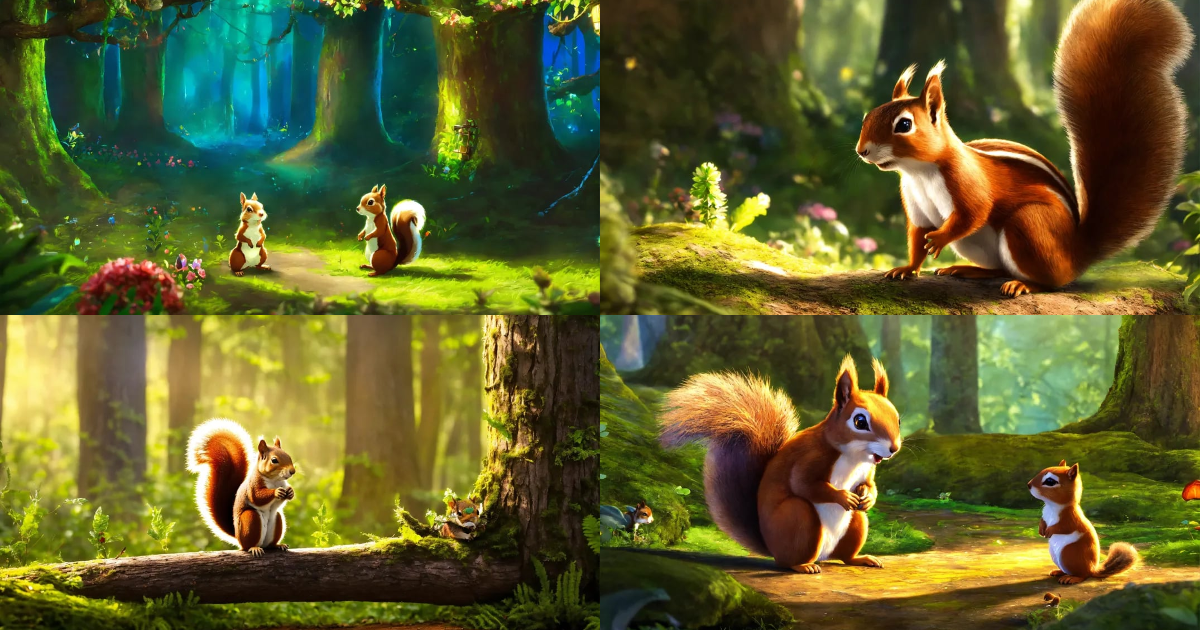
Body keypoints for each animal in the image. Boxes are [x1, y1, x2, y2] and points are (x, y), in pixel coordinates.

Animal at [186, 418, 297, 557]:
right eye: (274, 460)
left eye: (289, 456)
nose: (292, 471)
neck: (275, 480)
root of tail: (238, 538)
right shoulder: (253, 486)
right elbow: (257, 497)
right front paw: (276, 492)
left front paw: (290, 492)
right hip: (250, 519)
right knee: (248, 545)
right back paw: (254, 548)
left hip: (277, 519)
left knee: (270, 544)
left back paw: (277, 545)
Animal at [660, 355, 901, 573]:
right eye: (859, 421)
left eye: (897, 418)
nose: (894, 448)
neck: (854, 456)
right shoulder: (812, 457)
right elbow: (804, 484)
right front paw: (843, 497)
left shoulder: (867, 471)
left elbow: (869, 485)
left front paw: (867, 497)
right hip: (797, 517)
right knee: (787, 560)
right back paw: (803, 565)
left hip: (856, 523)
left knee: (845, 554)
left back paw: (861, 558)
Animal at [856, 0, 1193, 297]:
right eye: (868, 115)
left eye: (904, 124)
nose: (862, 151)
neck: (919, 171)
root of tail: (1076, 254)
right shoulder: (914, 203)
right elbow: (915, 236)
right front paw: (907, 268)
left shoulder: (968, 182)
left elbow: (973, 213)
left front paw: (938, 239)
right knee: (1001, 269)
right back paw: (968, 270)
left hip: (1029, 226)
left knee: (1049, 281)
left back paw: (1024, 285)